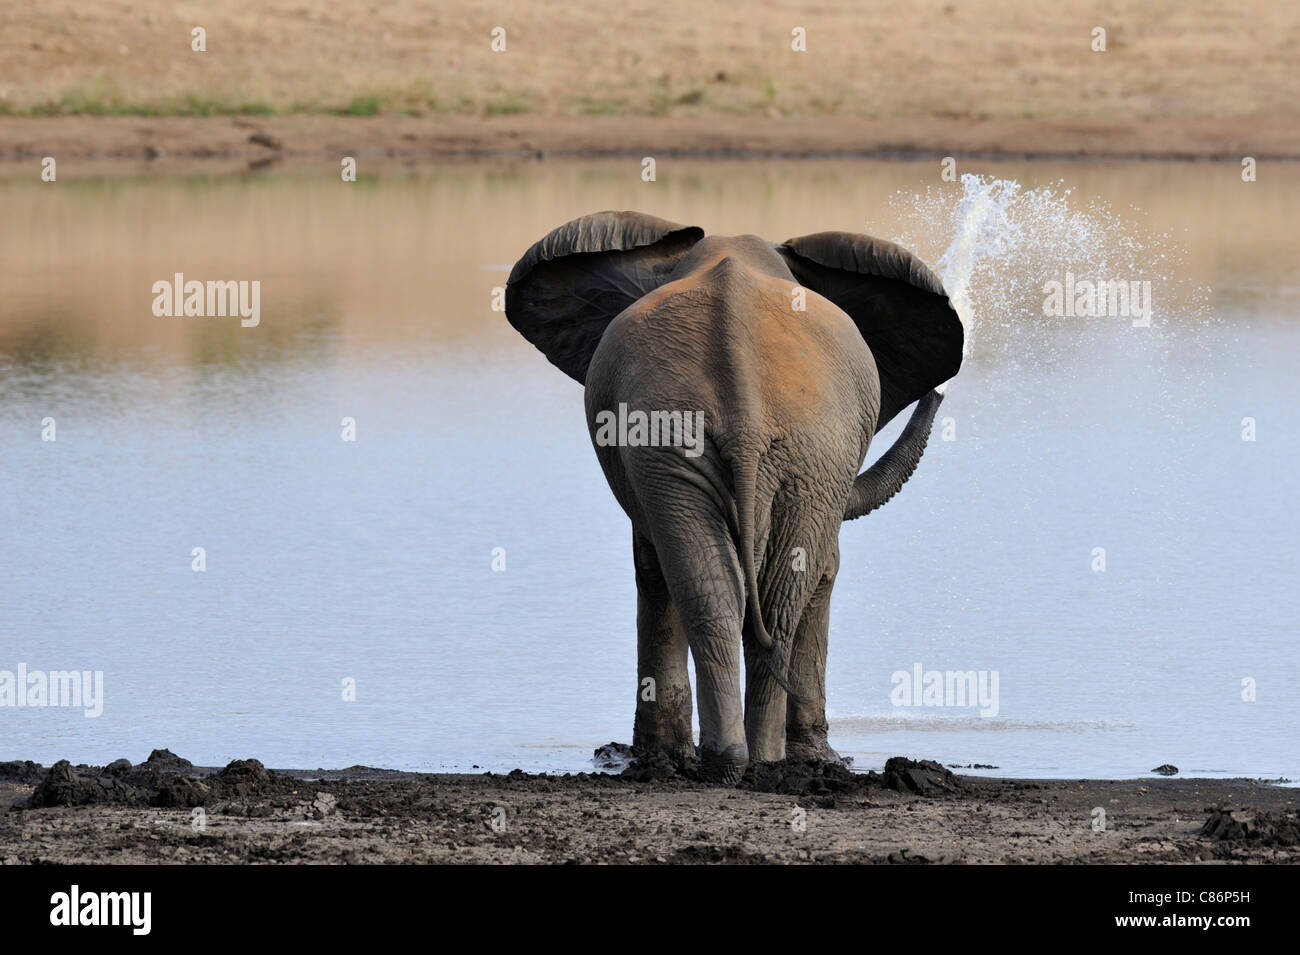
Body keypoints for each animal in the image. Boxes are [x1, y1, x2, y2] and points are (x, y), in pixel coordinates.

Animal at [505, 211, 963, 783]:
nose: (940, 395)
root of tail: (744, 406)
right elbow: (822, 570)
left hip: (773, 448)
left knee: (734, 594)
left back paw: (738, 764)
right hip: (755, 448)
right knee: (755, 596)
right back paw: (749, 762)